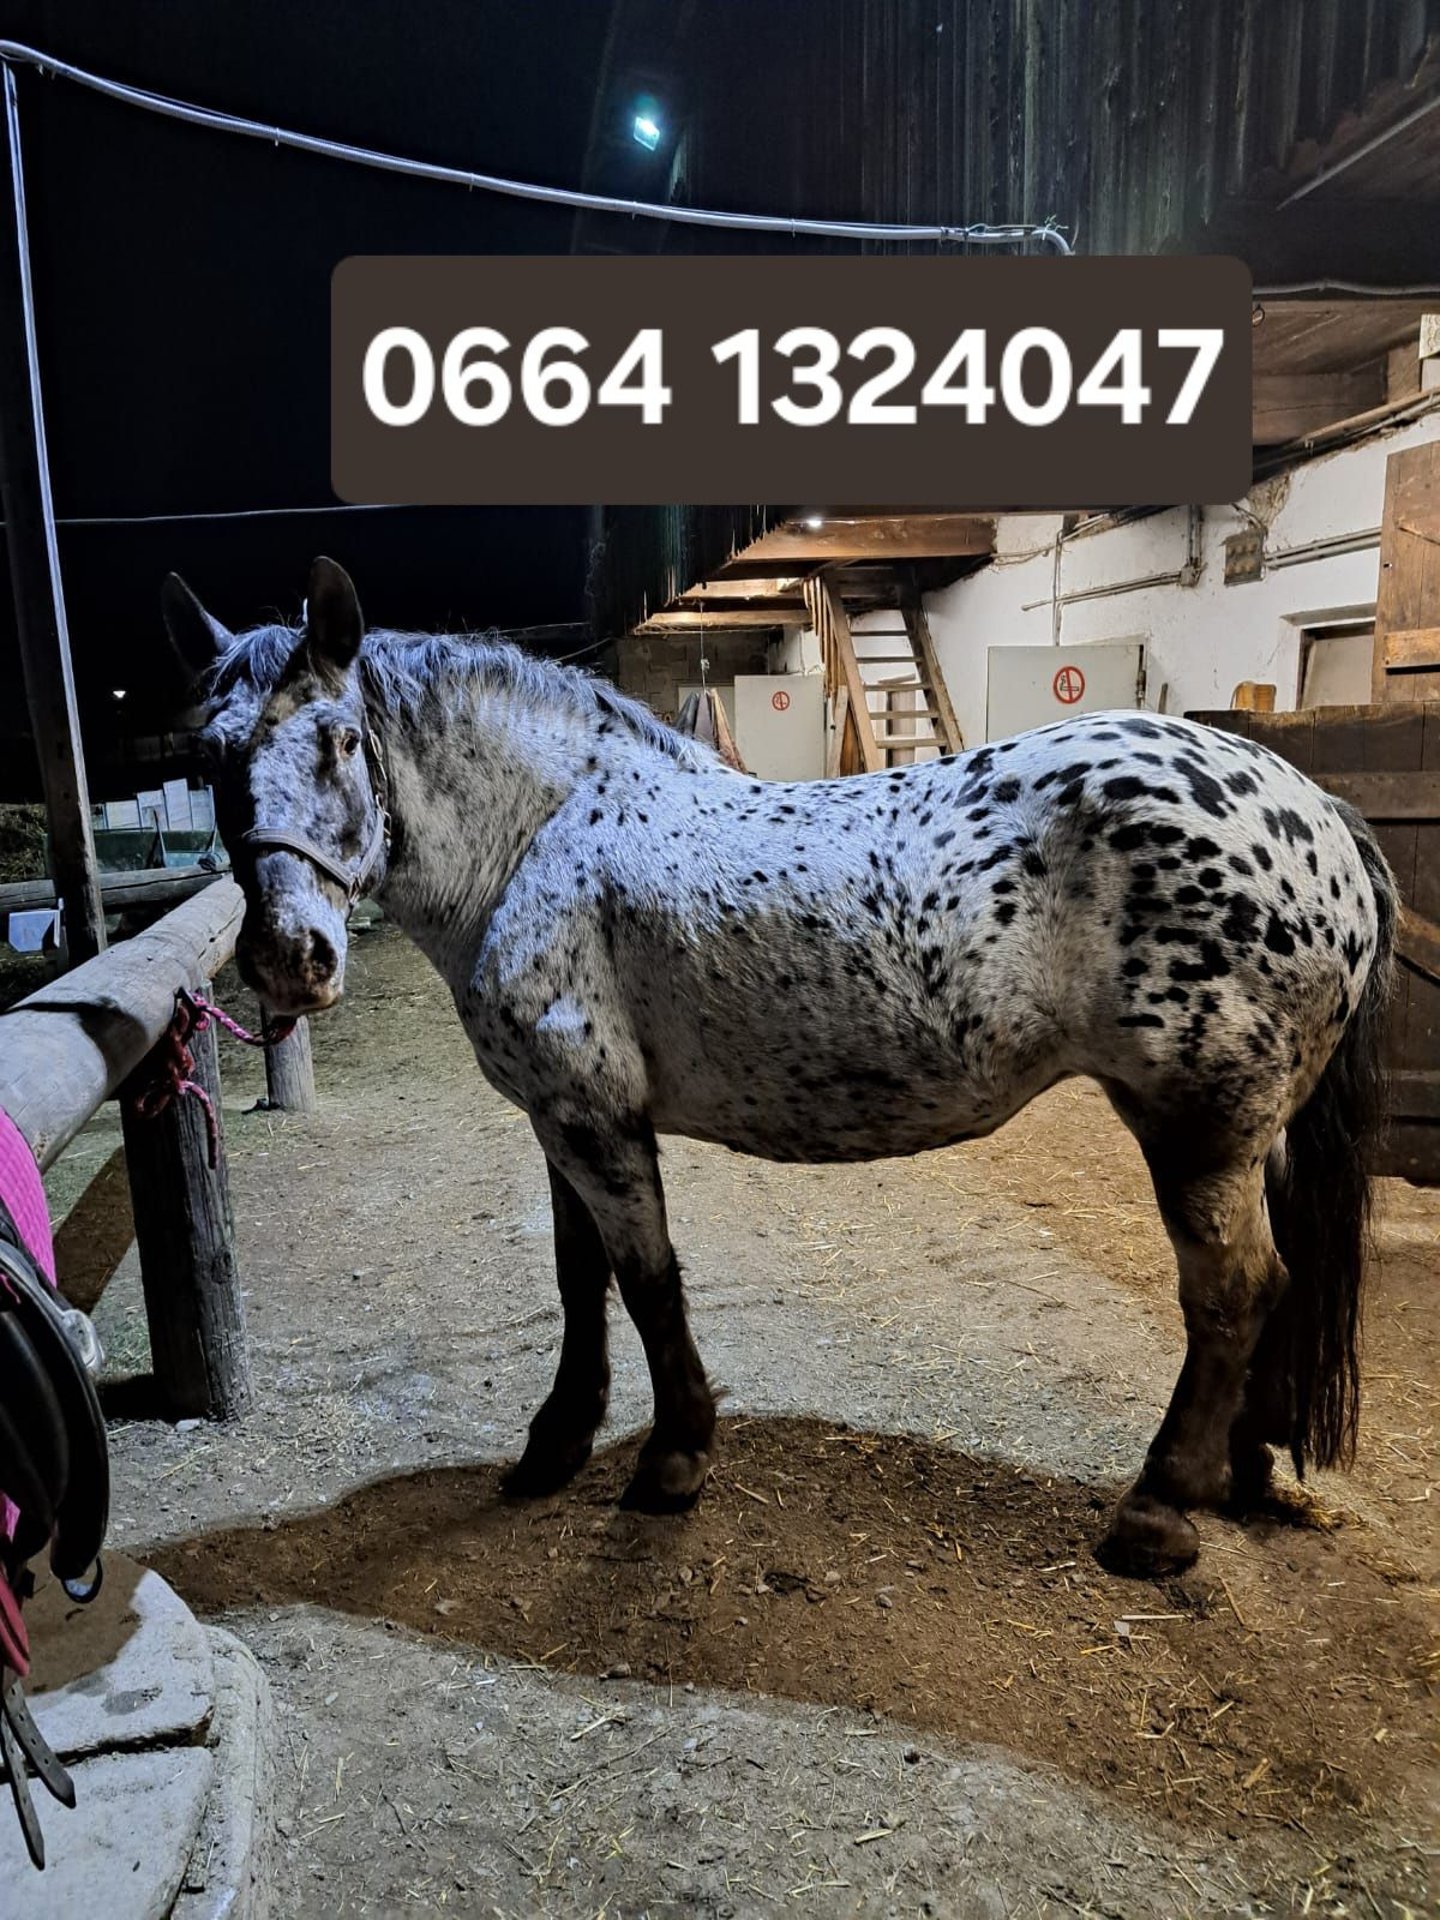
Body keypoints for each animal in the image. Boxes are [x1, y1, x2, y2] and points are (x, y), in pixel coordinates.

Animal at [161, 556, 1396, 1578]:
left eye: (341, 741)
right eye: (209, 755)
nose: (287, 959)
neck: (541, 836)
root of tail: (1319, 812)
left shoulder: (595, 1120)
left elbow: (647, 1280)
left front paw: (671, 1459)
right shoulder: (563, 1114)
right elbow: (579, 1279)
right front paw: (556, 1444)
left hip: (1199, 1127)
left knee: (1235, 1293)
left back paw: (1158, 1511)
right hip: (1247, 1136)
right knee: (1275, 1287)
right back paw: (1242, 1471)